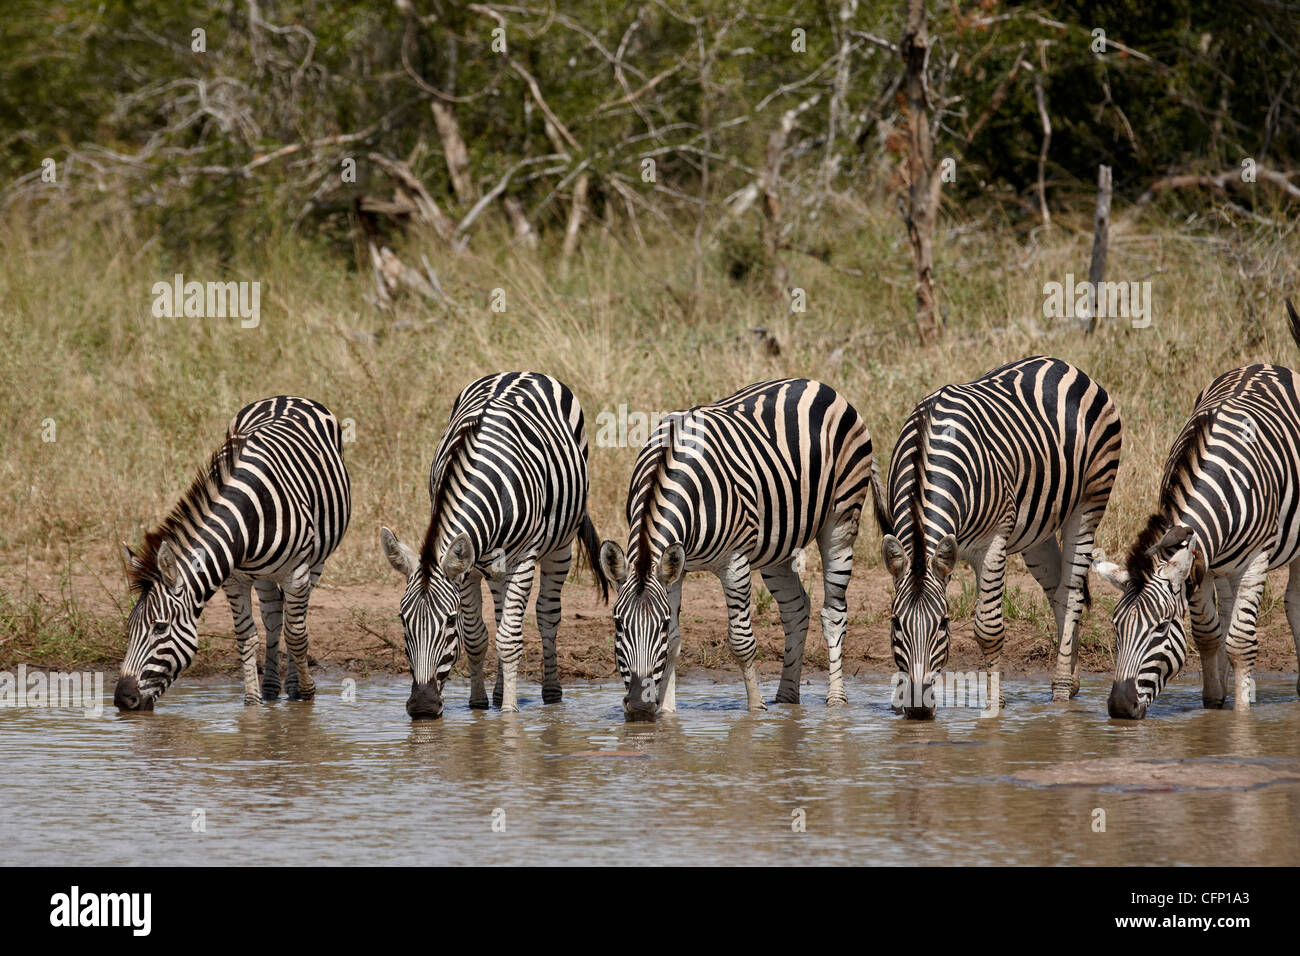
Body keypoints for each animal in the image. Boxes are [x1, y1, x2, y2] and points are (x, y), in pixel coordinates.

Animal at [115, 396, 351, 710]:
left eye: (160, 628)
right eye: (130, 626)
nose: (121, 699)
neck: (248, 515)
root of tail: (285, 396)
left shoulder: (297, 573)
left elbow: (296, 635)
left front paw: (307, 693)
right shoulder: (234, 578)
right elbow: (246, 636)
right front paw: (251, 704)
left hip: (316, 561)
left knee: (293, 619)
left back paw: (291, 686)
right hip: (262, 573)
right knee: (273, 615)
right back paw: (272, 688)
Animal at [380, 372, 607, 719]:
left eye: (449, 621)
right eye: (403, 620)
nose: (422, 707)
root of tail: (520, 371)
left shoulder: (524, 558)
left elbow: (510, 639)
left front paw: (509, 715)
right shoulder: (468, 568)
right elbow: (477, 636)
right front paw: (479, 704)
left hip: (561, 544)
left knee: (547, 615)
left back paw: (551, 693)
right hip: (496, 564)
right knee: (502, 618)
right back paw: (499, 693)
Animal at [597, 379, 876, 721]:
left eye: (658, 626)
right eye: (617, 624)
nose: (638, 706)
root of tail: (816, 383)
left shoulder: (734, 563)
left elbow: (741, 641)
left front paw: (755, 710)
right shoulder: (675, 568)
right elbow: (675, 641)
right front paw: (667, 713)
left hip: (841, 520)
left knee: (833, 613)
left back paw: (836, 701)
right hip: (777, 545)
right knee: (796, 609)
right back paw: (787, 697)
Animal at [878, 357, 1122, 719]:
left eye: (944, 624)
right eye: (895, 623)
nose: (919, 709)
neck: (928, 448)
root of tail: (1065, 365)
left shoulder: (993, 543)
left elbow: (988, 628)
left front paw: (995, 706)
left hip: (1089, 502)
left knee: (1073, 593)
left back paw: (1062, 688)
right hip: (1037, 531)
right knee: (1058, 592)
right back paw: (1073, 679)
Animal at [1093, 300, 1300, 718]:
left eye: (1160, 627)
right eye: (1115, 626)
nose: (1120, 708)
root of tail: (1266, 363)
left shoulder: (1257, 557)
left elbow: (1240, 641)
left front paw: (1241, 717)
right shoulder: (1199, 563)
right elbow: (1209, 635)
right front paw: (1214, 704)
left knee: (1292, 604)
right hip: (1224, 567)